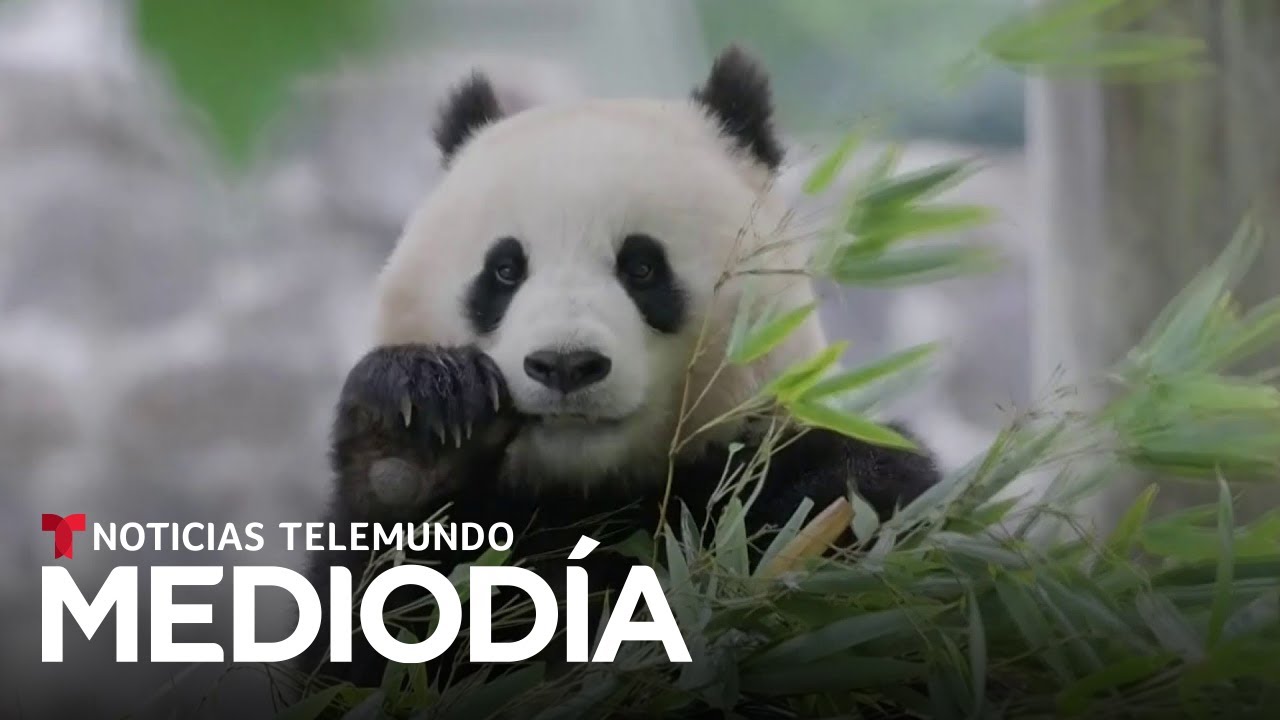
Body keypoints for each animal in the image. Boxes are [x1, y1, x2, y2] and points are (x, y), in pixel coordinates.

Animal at [298, 46, 940, 701]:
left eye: (642, 266)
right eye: (504, 270)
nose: (565, 364)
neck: (589, 493)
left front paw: (826, 514)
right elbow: (370, 645)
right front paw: (414, 436)